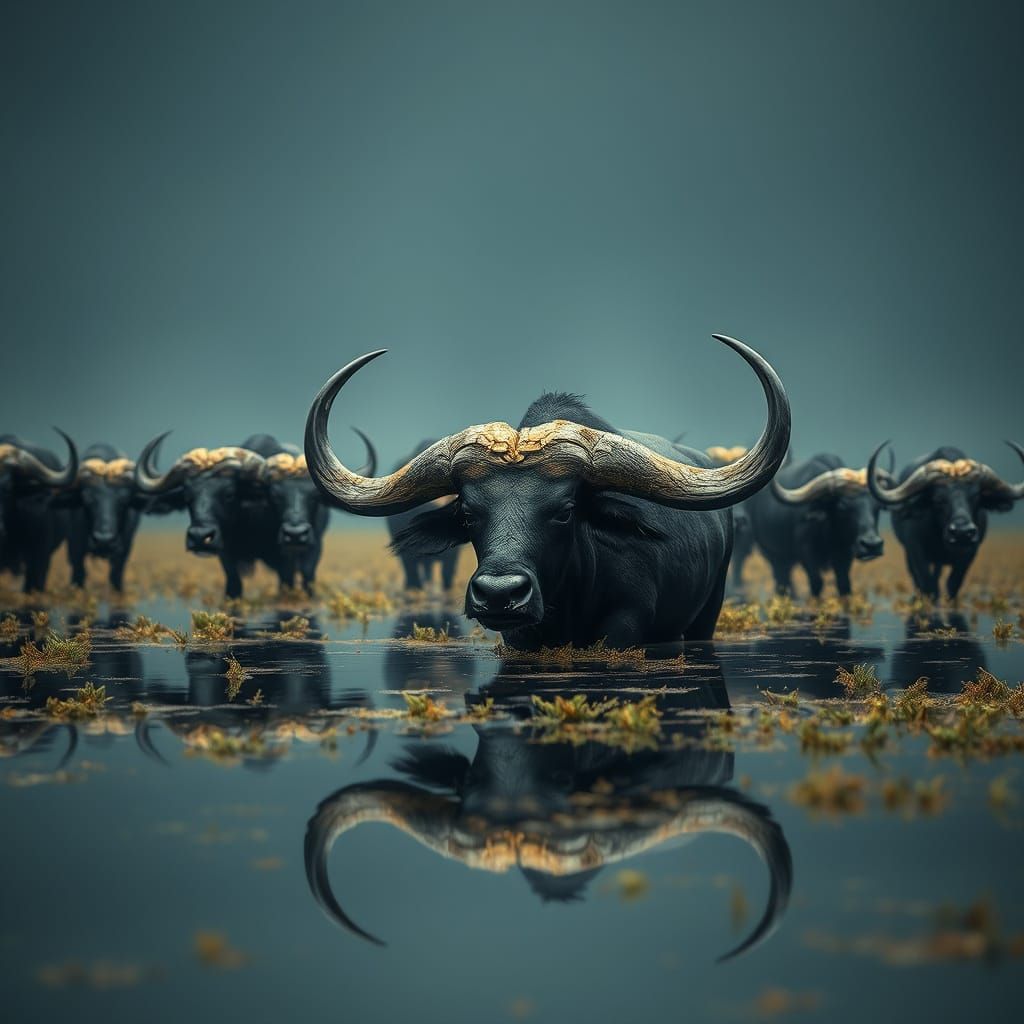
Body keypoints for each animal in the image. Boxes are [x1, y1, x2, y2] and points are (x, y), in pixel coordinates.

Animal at [133, 432, 375, 597]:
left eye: (229, 493)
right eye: (187, 496)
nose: (201, 537)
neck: (254, 526)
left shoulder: (288, 557)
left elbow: (288, 583)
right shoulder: (227, 553)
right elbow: (234, 585)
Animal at [747, 453, 885, 598]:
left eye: (877, 506)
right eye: (842, 506)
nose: (872, 545)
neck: (826, 532)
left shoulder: (845, 552)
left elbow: (844, 582)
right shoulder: (806, 553)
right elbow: (816, 582)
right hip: (772, 554)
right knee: (782, 579)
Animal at [867, 443, 1024, 601]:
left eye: (976, 497)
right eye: (938, 499)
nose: (962, 532)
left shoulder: (970, 553)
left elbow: (953, 584)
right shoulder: (915, 551)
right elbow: (928, 584)